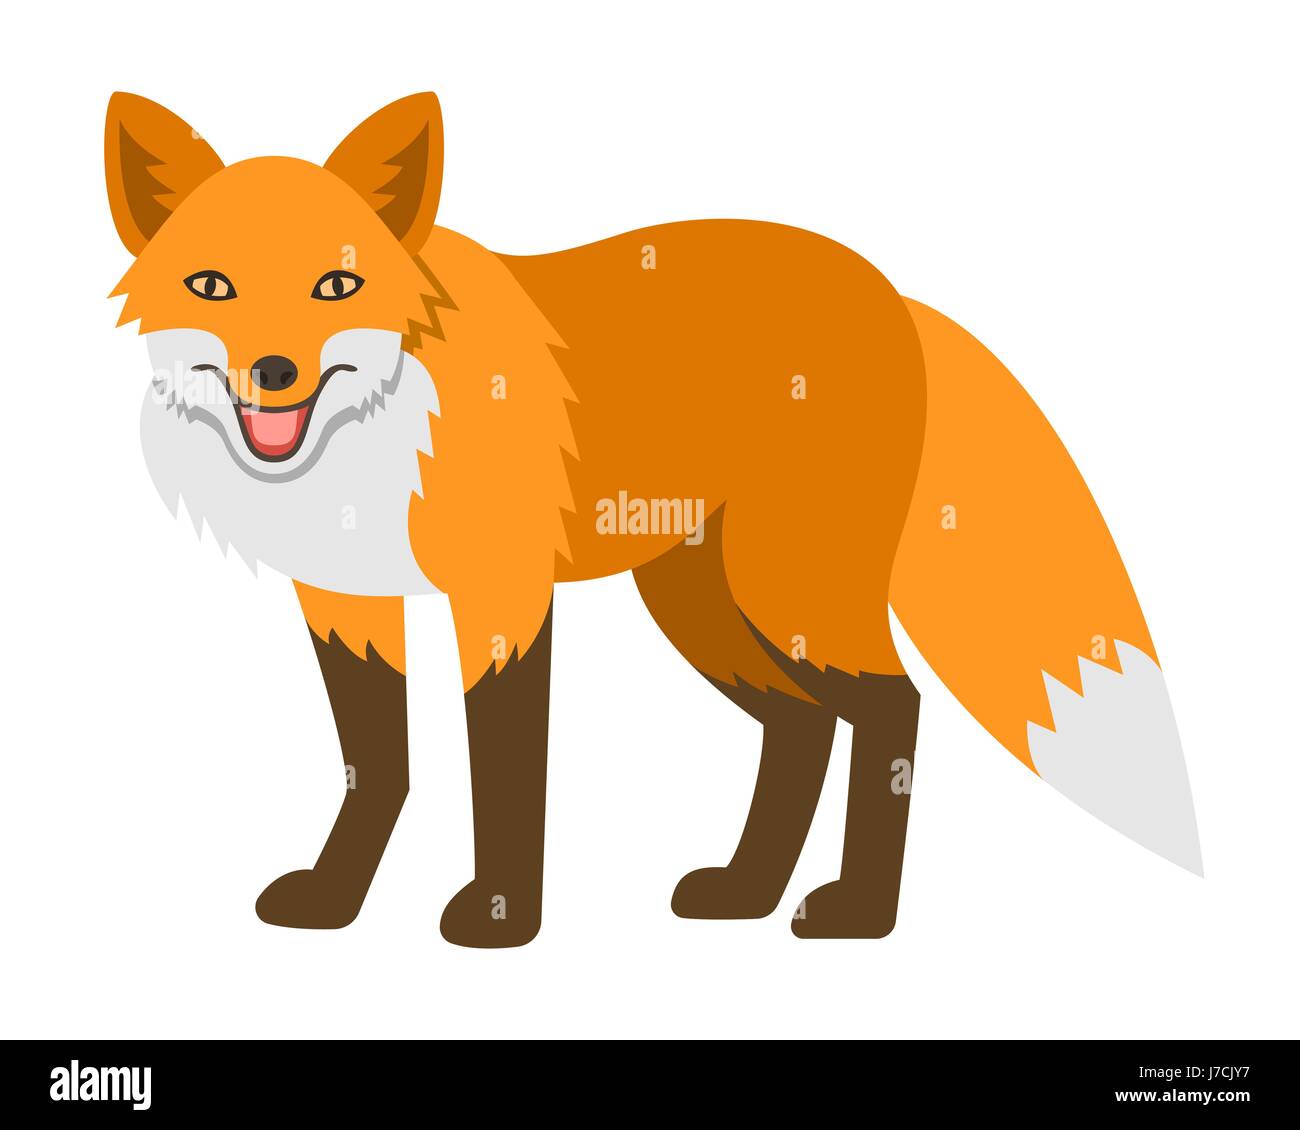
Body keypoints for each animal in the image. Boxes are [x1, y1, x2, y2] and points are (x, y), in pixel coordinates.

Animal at [104, 91, 1200, 947]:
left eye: (338, 285)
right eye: (211, 286)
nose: (272, 371)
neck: (382, 426)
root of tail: (893, 293)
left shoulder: (502, 597)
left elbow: (504, 771)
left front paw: (500, 917)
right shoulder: (347, 603)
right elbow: (376, 766)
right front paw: (335, 902)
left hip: (783, 586)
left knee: (892, 708)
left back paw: (855, 914)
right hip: (702, 603)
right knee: (803, 722)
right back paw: (748, 892)